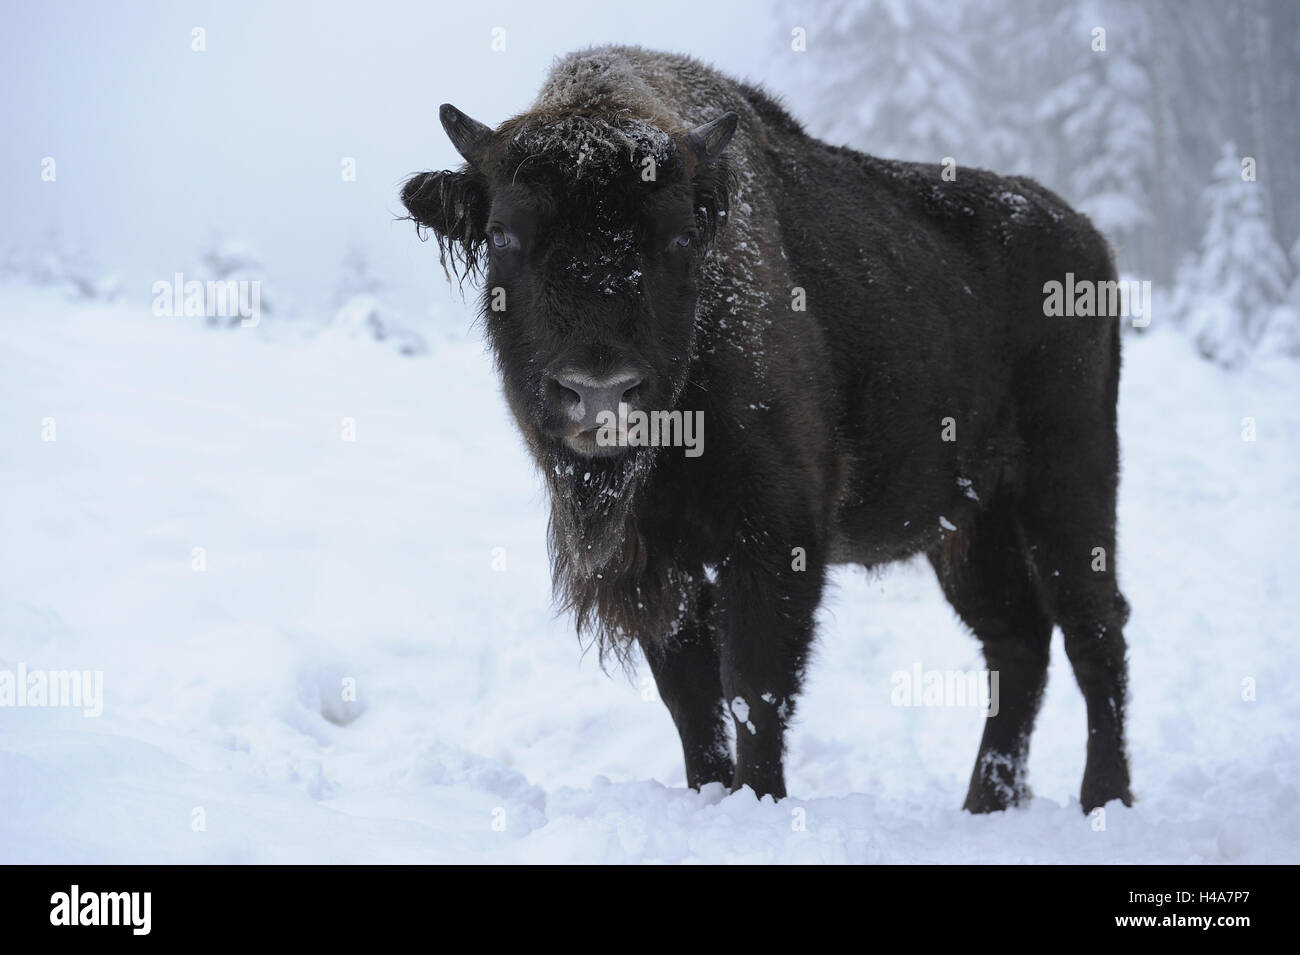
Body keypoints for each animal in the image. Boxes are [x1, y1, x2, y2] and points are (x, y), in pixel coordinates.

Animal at [401, 45, 1132, 813]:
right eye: (504, 234)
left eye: (679, 237)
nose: (599, 391)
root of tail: (1089, 238)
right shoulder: (658, 562)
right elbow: (692, 699)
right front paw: (711, 793)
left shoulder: (775, 538)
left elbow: (755, 687)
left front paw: (759, 800)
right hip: (969, 524)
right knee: (1017, 639)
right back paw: (986, 802)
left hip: (1068, 485)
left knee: (1093, 629)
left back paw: (1103, 798)